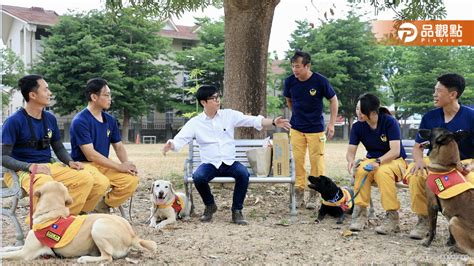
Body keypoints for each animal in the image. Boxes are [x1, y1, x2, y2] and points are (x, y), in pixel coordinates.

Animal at [0, 182, 156, 262]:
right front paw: (4, 247)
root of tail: (132, 236)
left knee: (107, 258)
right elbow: (9, 248)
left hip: (98, 226)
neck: (52, 211)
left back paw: (84, 259)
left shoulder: (26, 253)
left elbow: (6, 255)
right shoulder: (24, 247)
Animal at [418, 129, 474, 258]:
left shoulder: (431, 205)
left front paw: (427, 242)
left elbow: (432, 229)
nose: (419, 130)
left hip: (454, 220)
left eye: (431, 131)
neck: (447, 166)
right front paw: (450, 241)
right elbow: (450, 234)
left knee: (470, 250)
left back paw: (455, 248)